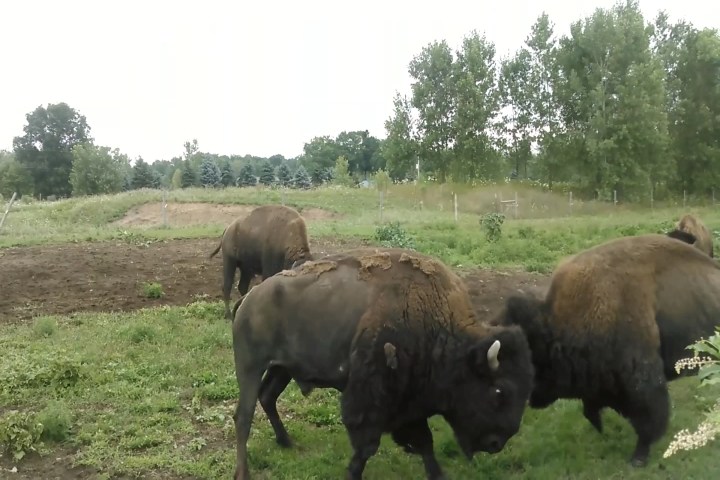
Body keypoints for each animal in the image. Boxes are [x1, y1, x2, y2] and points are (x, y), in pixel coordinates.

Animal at [231, 248, 534, 479]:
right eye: (499, 391)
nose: (496, 443)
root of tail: (248, 298)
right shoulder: (371, 399)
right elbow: (367, 445)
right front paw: (352, 473)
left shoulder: (410, 400)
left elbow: (424, 442)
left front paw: (437, 474)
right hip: (250, 367)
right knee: (243, 417)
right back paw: (244, 472)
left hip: (281, 369)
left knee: (267, 397)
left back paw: (286, 442)